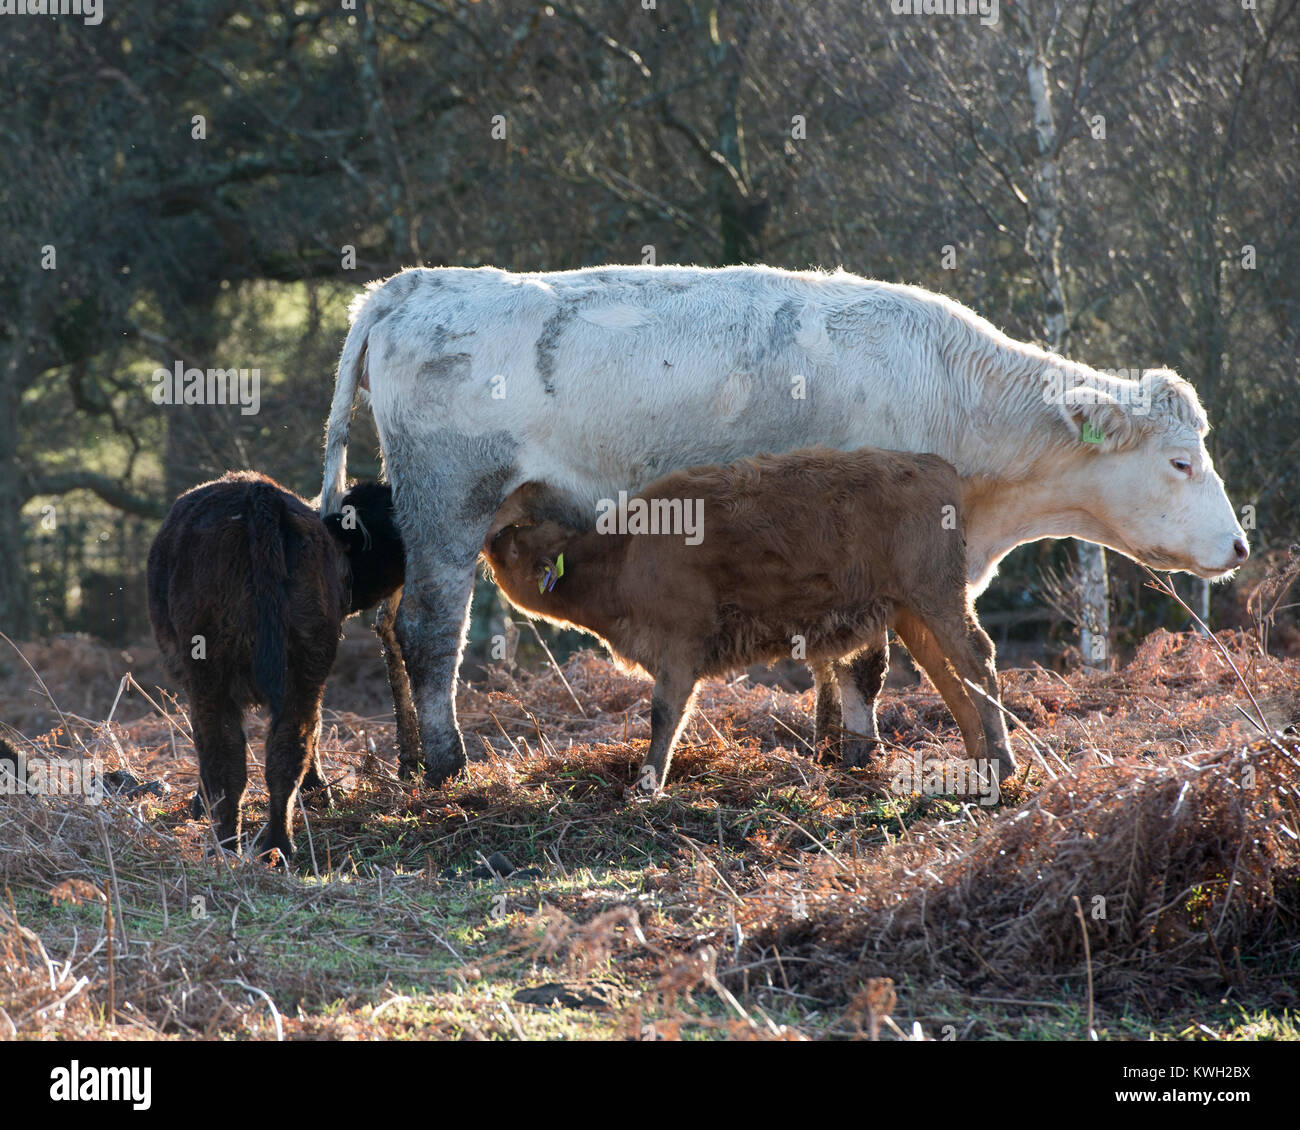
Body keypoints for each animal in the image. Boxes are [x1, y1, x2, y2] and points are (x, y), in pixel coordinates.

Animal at [147, 472, 409, 862]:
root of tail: (259, 495)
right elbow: (314, 731)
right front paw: (320, 794)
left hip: (211, 674)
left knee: (225, 757)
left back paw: (227, 847)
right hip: (303, 668)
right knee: (288, 748)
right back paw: (278, 846)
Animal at [484, 446, 1012, 789]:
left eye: (515, 544)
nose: (493, 534)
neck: (622, 555)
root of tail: (932, 464)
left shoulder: (679, 650)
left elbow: (664, 714)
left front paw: (646, 785)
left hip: (936, 596)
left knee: (975, 659)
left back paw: (1001, 764)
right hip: (910, 611)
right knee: (948, 673)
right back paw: (978, 761)